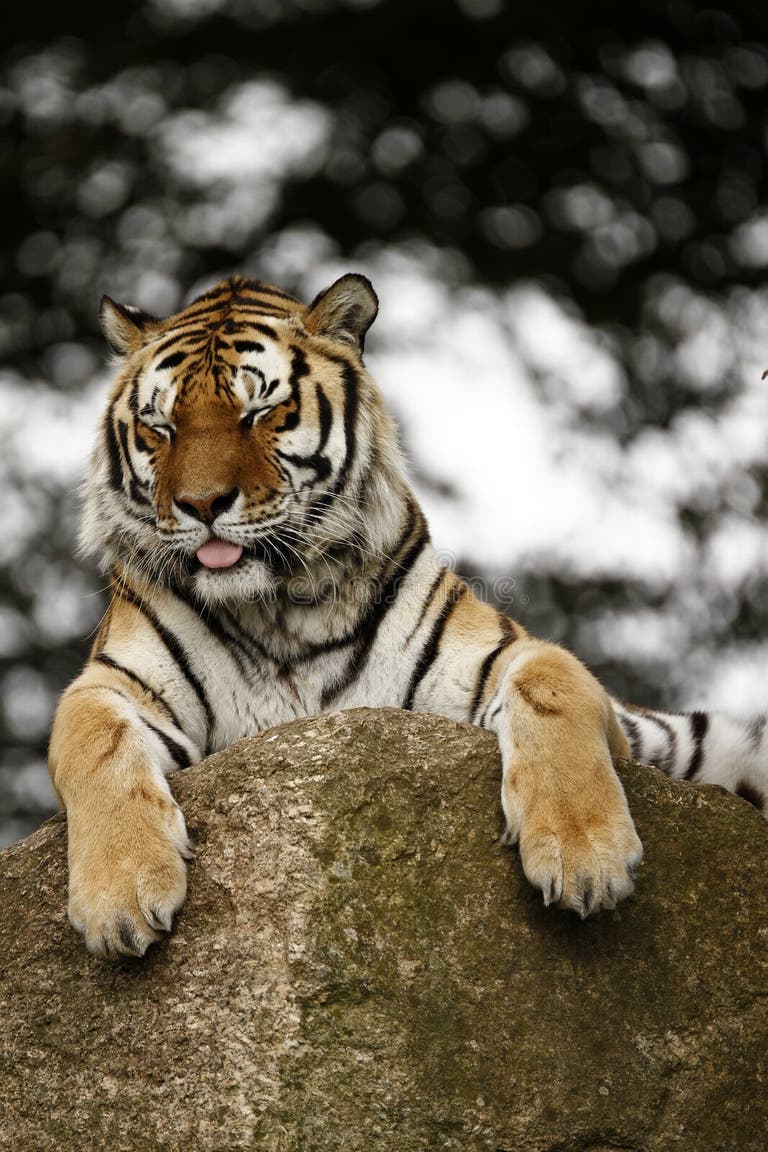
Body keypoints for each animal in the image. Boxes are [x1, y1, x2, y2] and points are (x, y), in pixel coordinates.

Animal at [48, 272, 768, 959]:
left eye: (261, 411)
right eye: (161, 426)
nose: (201, 505)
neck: (278, 605)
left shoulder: (496, 657)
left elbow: (553, 685)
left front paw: (585, 854)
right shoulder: (112, 683)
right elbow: (93, 743)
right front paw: (121, 894)